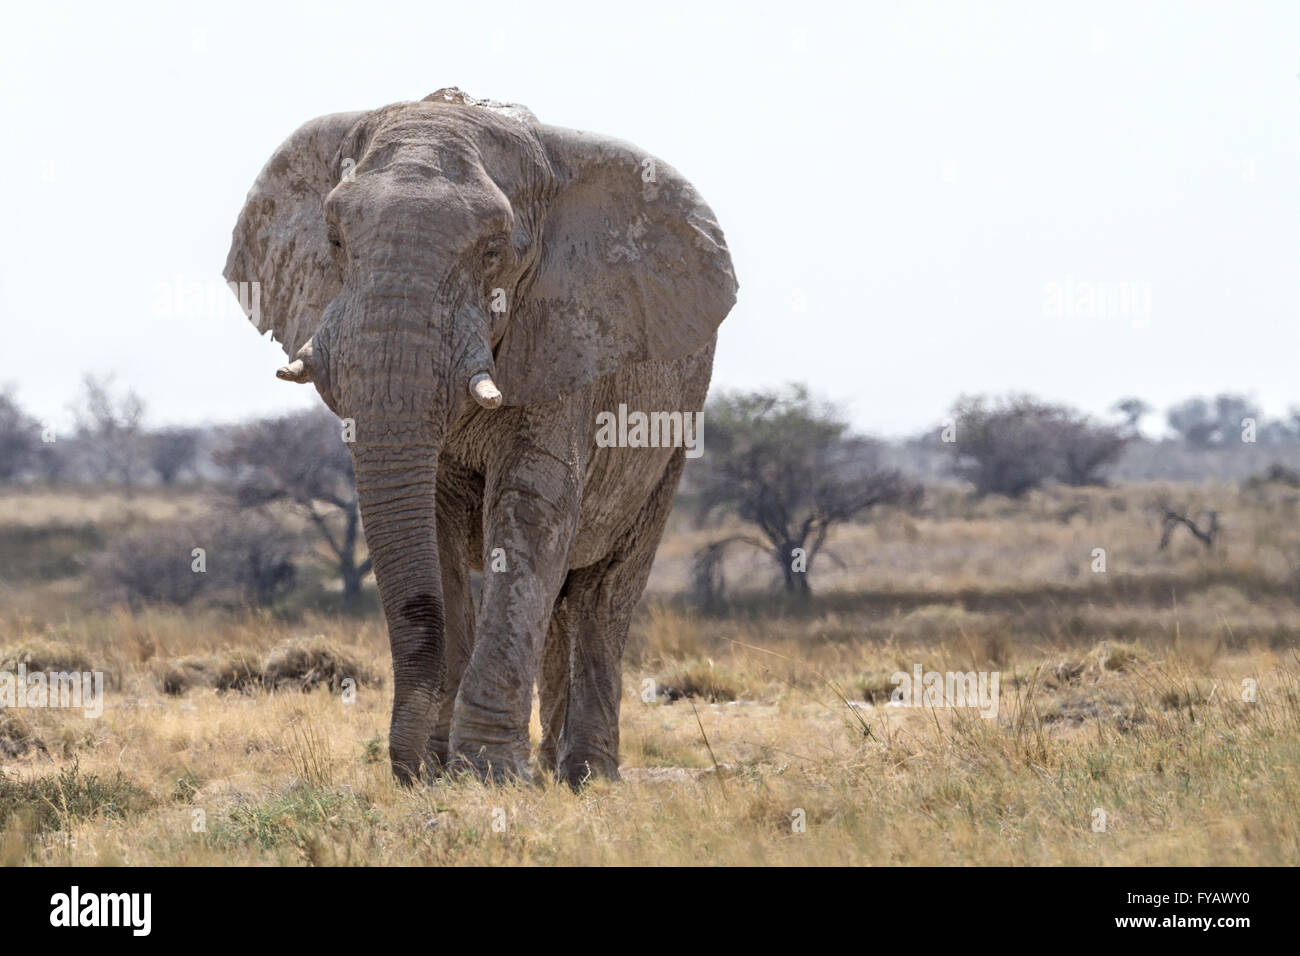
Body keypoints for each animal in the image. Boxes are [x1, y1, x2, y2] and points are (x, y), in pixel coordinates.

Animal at [223, 88, 737, 787]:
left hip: (678, 423)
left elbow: (529, 513)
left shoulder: (564, 336)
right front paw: (446, 771)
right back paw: (550, 770)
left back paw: (585, 777)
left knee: (604, 592)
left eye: (494, 251)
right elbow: (435, 531)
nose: (407, 772)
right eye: (334, 240)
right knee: (562, 598)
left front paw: (489, 775)